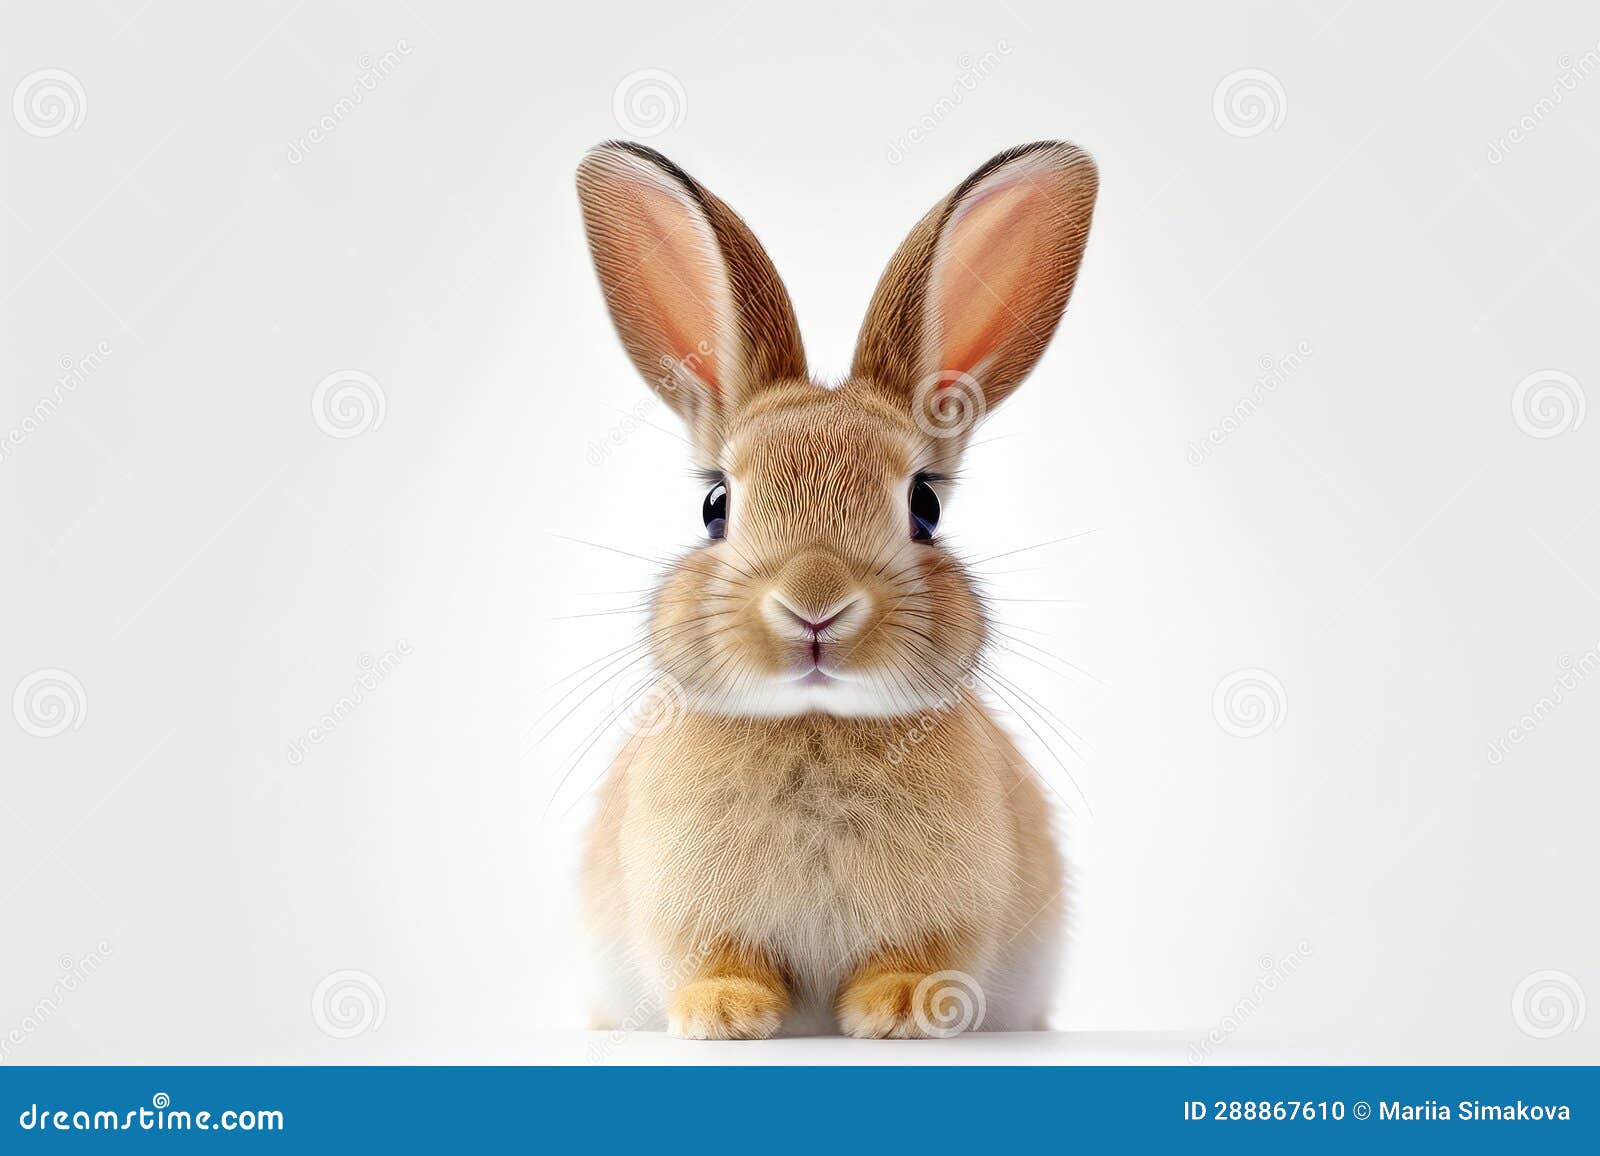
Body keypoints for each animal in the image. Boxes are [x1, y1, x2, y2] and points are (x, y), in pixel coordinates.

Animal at [574, 139, 1097, 1039]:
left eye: (924, 507)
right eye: (715, 505)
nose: (814, 603)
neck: (815, 723)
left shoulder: (950, 917)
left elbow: (918, 957)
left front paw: (904, 1009)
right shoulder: (686, 916)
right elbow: (714, 959)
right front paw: (724, 1014)